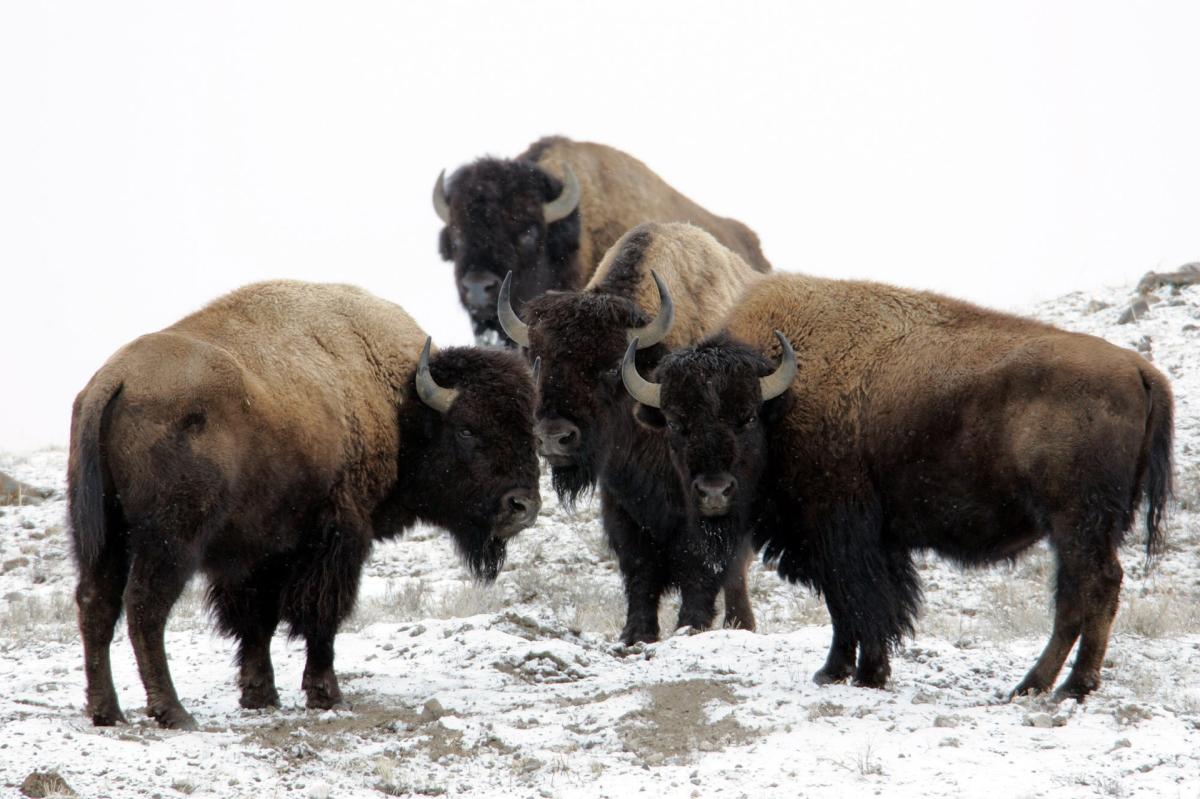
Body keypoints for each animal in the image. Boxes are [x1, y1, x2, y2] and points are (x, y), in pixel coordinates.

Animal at [68, 281, 540, 729]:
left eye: (530, 428)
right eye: (466, 430)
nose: (522, 506)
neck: (399, 403)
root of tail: (115, 381)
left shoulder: (256, 554)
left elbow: (256, 622)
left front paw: (260, 696)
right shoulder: (336, 540)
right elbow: (320, 618)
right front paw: (325, 694)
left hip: (102, 537)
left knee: (96, 604)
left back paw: (106, 711)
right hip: (169, 543)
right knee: (144, 609)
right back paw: (173, 712)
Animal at [500, 222, 762, 643]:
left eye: (609, 367)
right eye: (538, 360)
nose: (554, 437)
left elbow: (700, 564)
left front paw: (691, 625)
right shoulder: (621, 502)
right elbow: (639, 568)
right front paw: (636, 633)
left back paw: (741, 625)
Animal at [623, 273, 1174, 698]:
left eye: (745, 418)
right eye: (677, 423)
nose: (714, 492)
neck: (784, 397)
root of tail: (1140, 369)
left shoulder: (840, 535)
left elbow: (857, 602)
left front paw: (856, 673)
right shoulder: (863, 541)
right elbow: (860, 605)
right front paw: (847, 672)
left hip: (1077, 523)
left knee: (1092, 589)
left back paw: (1060, 687)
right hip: (1080, 529)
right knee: (1080, 594)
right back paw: (1040, 686)